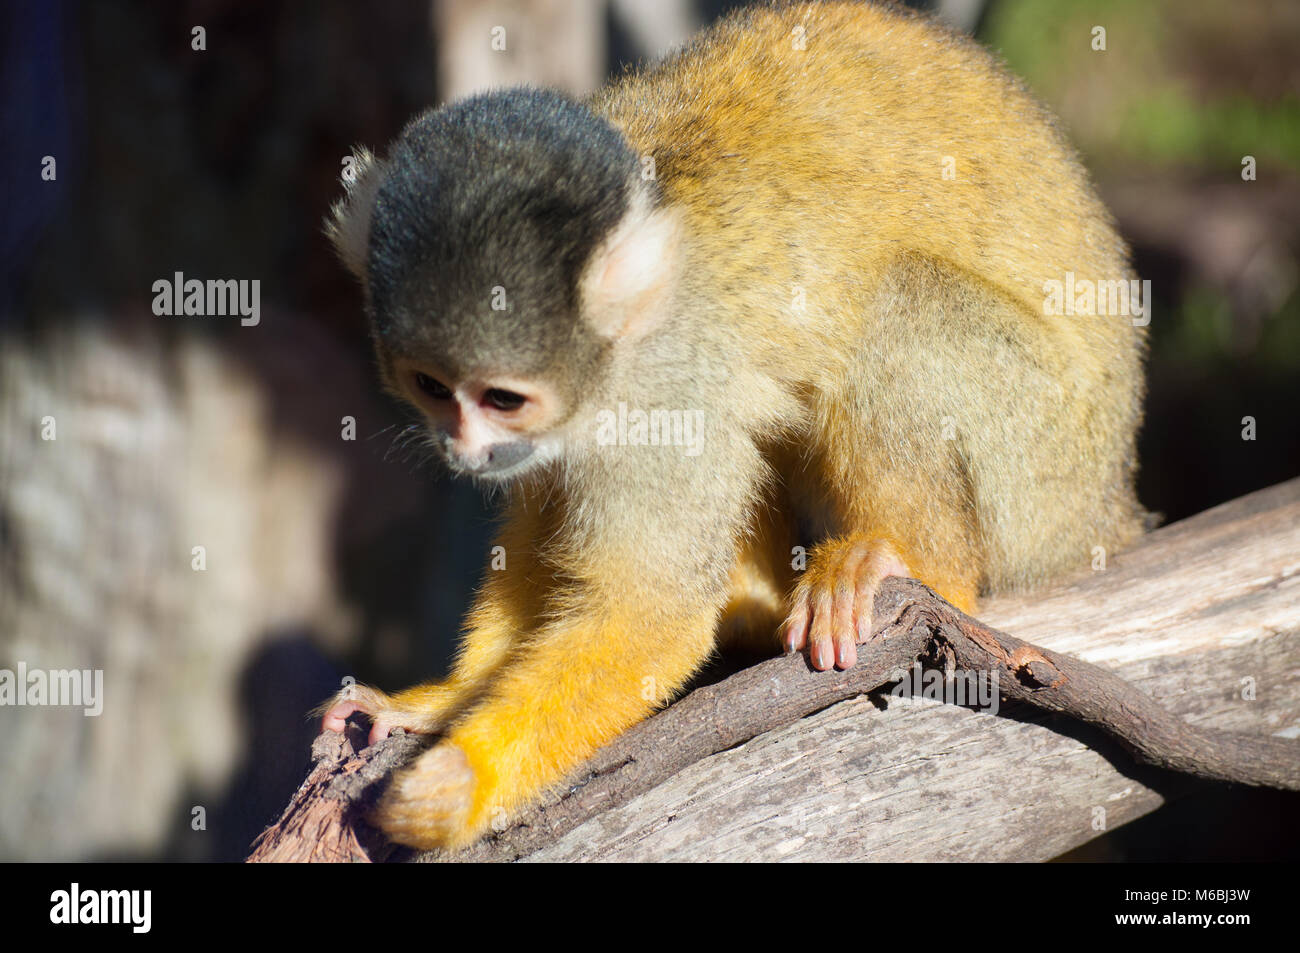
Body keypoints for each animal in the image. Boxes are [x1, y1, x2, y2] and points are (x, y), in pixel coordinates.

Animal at [320, 0, 1147, 851]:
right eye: (431, 387)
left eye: (502, 398)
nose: (468, 450)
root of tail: (1112, 501)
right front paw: (438, 700)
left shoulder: (665, 387)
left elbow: (650, 611)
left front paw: (462, 781)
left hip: (1045, 464)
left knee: (898, 309)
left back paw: (910, 565)